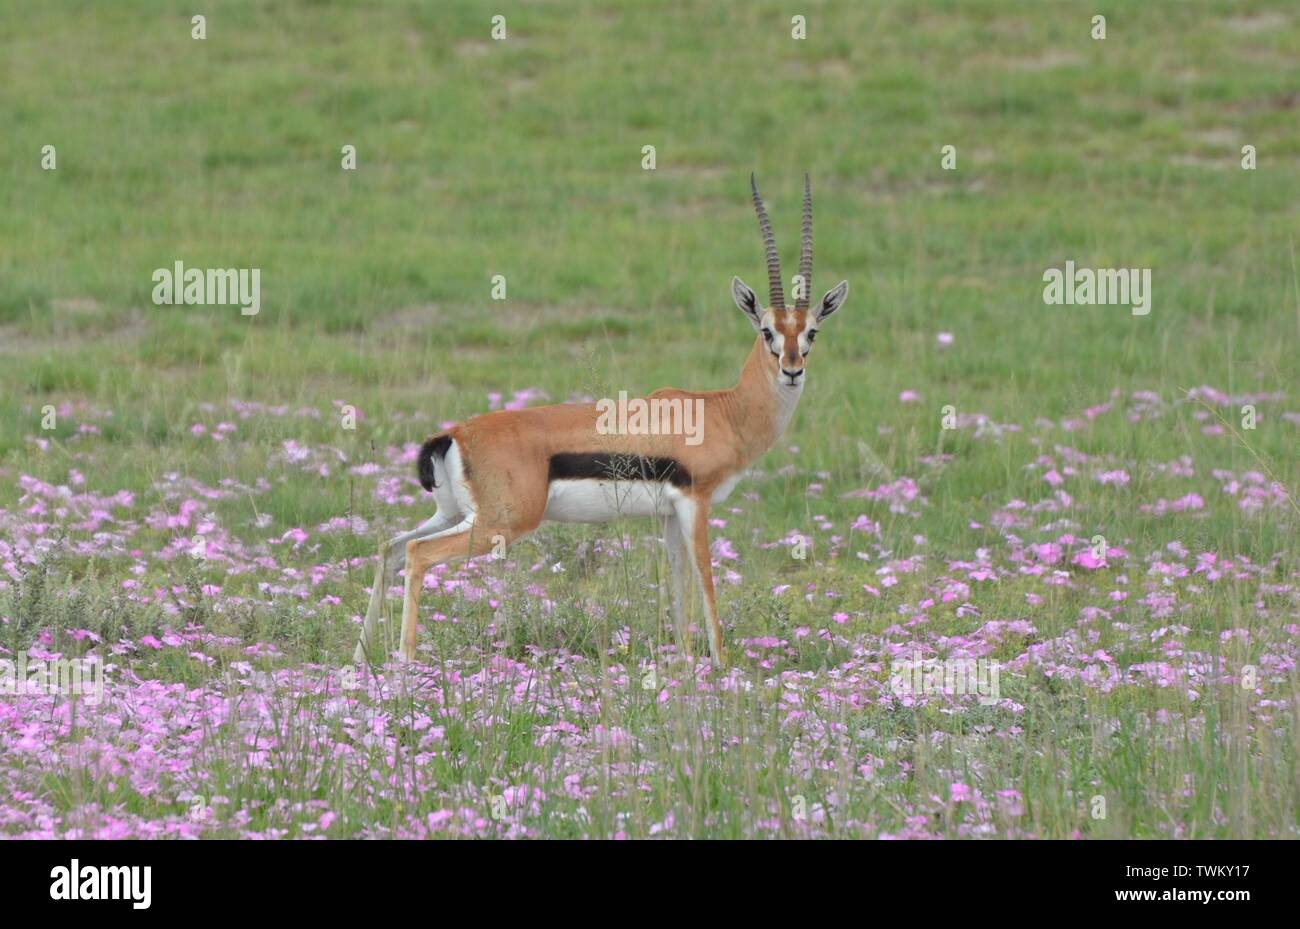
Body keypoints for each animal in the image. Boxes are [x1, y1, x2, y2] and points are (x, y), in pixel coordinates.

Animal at [355, 175, 848, 666]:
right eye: (767, 331)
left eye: (811, 331)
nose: (791, 369)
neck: (723, 409)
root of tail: (455, 434)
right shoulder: (696, 504)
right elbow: (705, 579)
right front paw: (719, 665)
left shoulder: (670, 514)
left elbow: (678, 583)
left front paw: (685, 660)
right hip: (498, 526)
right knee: (417, 553)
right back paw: (404, 659)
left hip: (455, 513)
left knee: (389, 547)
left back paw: (362, 658)